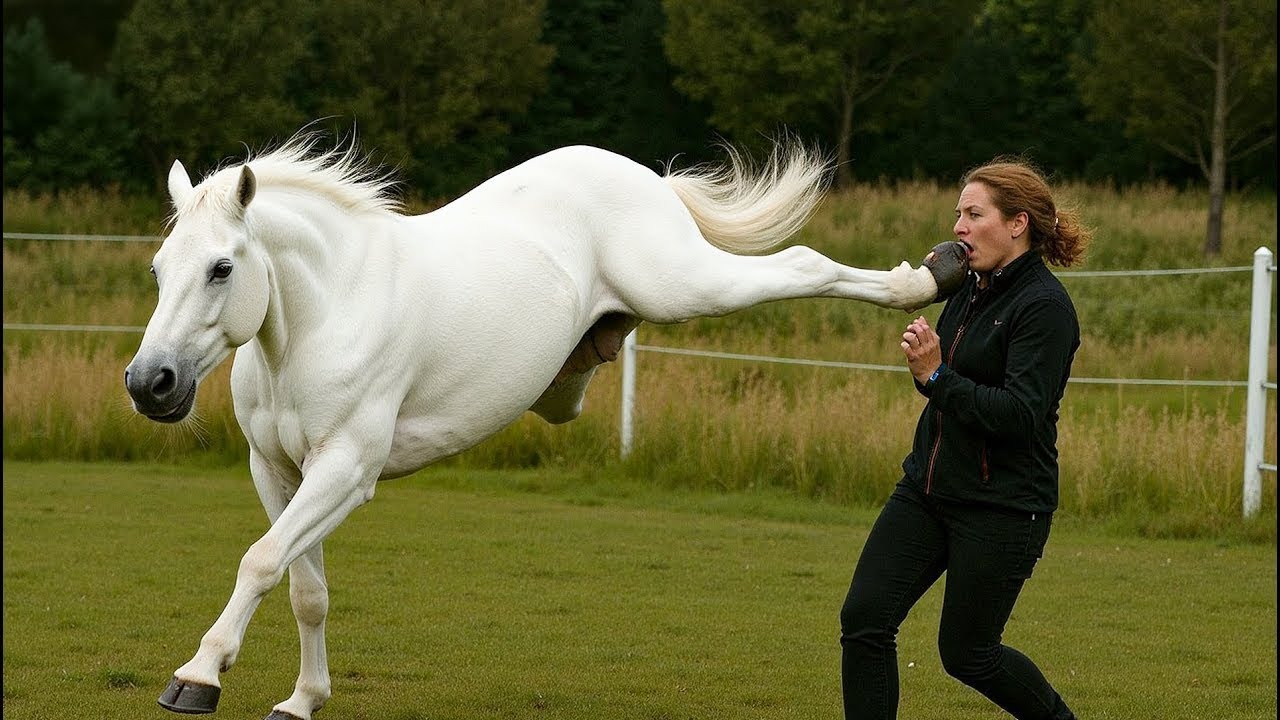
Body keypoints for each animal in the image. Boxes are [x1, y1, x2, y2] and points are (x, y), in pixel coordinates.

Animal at [125, 133, 968, 719]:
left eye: (222, 268)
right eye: (160, 268)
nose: (149, 383)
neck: (324, 314)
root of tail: (643, 177)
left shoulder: (345, 472)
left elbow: (261, 562)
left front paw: (196, 676)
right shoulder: (279, 471)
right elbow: (304, 587)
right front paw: (302, 700)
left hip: (688, 284)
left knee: (802, 267)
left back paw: (923, 280)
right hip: (599, 353)